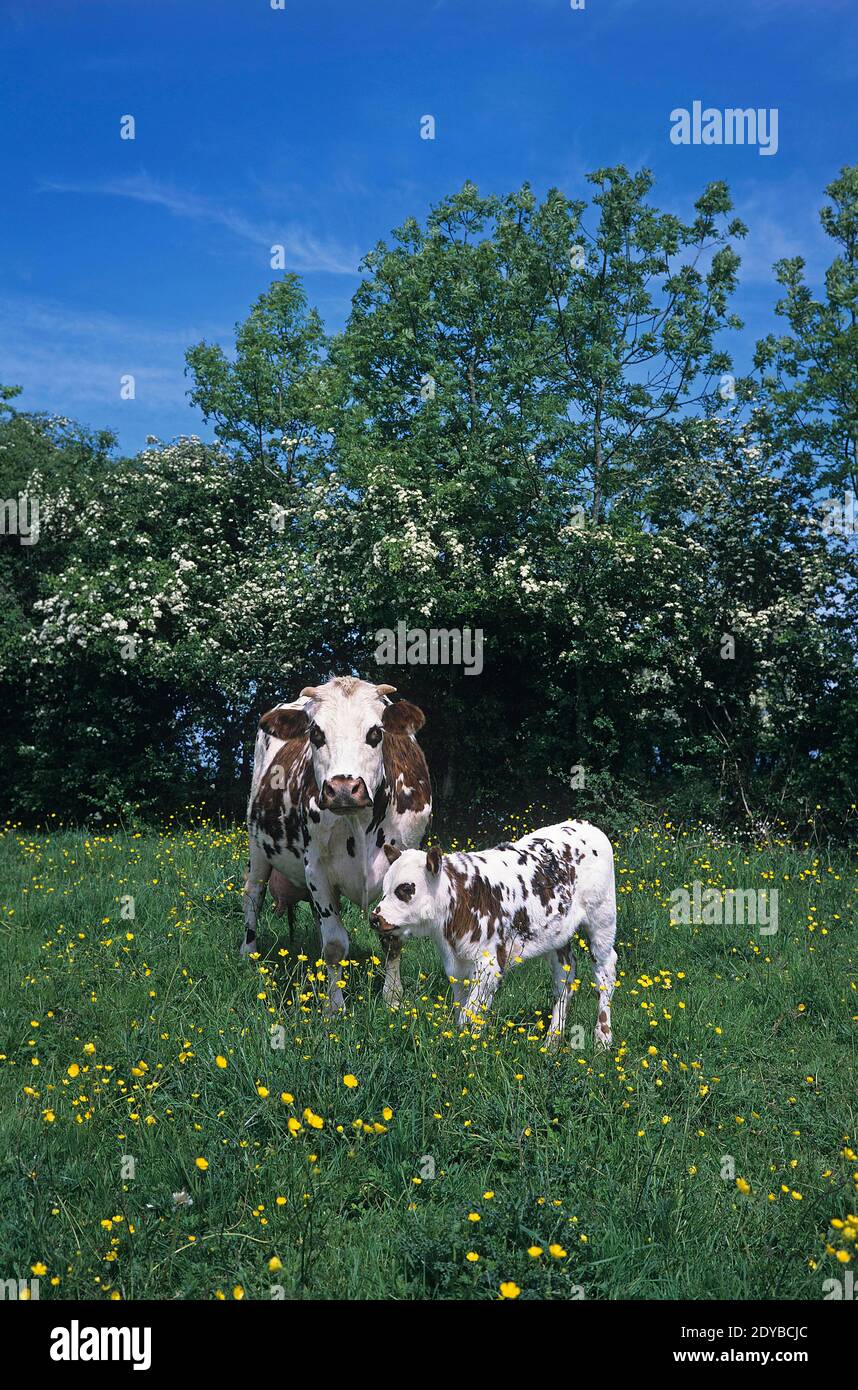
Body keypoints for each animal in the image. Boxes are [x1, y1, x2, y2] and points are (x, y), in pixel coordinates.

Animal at [242, 676, 432, 1012]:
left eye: (375, 732)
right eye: (316, 733)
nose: (343, 788)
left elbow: (393, 939)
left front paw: (393, 999)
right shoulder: (316, 870)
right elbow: (333, 944)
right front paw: (334, 1007)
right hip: (256, 844)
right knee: (253, 894)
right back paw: (248, 953)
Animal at [371, 820, 617, 1048]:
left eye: (405, 889)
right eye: (384, 888)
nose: (374, 918)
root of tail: (586, 825)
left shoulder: (489, 961)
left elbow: (469, 1012)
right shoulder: (457, 965)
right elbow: (464, 1008)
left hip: (602, 920)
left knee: (605, 972)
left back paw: (602, 1039)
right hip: (558, 935)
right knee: (564, 977)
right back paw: (552, 1042)